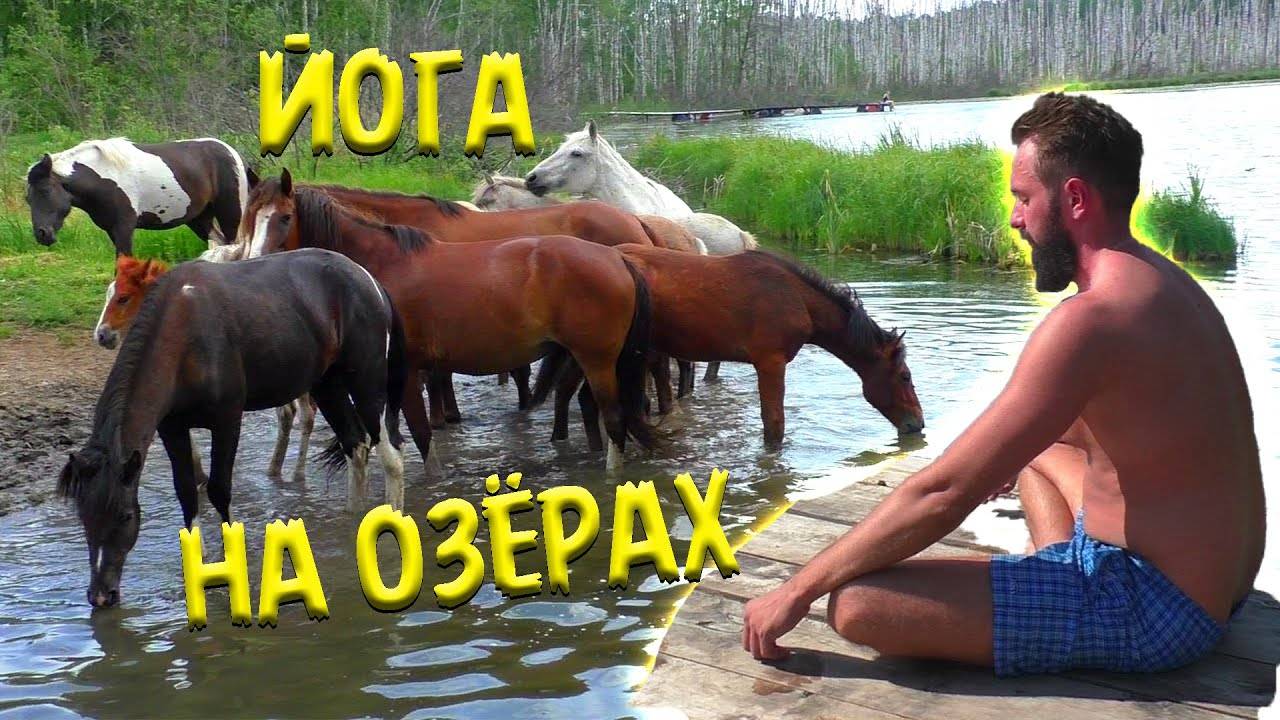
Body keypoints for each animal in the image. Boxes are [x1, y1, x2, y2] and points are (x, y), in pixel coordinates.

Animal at [26, 137, 252, 256]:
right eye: (28, 199)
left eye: (45, 191)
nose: (42, 234)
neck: (104, 177)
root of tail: (231, 151)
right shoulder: (112, 230)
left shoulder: (124, 227)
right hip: (200, 219)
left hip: (231, 215)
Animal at [93, 255, 318, 481]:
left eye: (123, 298)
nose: (101, 335)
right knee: (288, 414)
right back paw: (274, 470)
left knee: (306, 416)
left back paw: (298, 475)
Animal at [242, 173, 662, 471]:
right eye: (247, 220)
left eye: (284, 218)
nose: (252, 266)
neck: (380, 268)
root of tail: (619, 257)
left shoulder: (408, 372)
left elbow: (423, 436)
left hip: (598, 361)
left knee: (615, 419)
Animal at [535, 245, 924, 449]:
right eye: (905, 376)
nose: (917, 424)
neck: (797, 299)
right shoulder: (770, 362)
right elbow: (774, 424)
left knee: (574, 396)